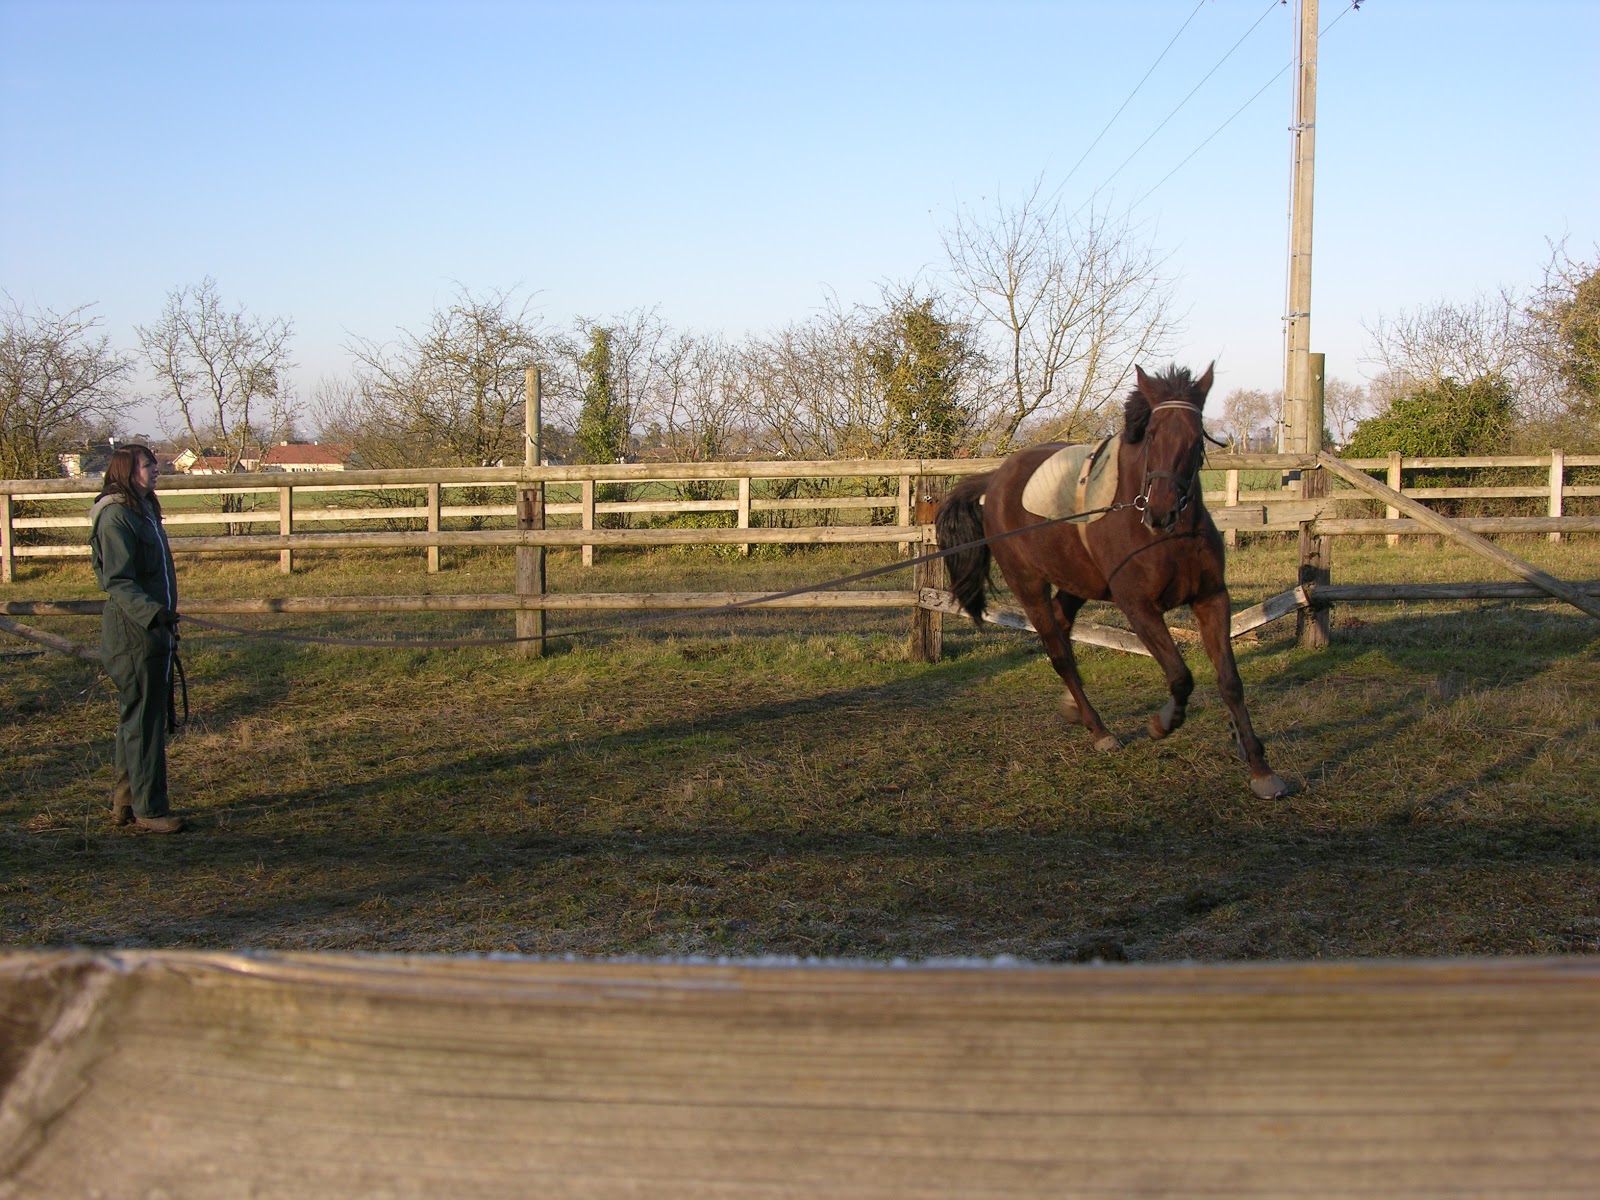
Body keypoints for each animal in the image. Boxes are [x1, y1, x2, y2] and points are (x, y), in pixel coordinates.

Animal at [935, 363, 1288, 800]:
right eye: (1151, 435)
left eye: (1195, 438)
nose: (1160, 513)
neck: (1169, 538)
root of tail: (996, 479)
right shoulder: (1138, 607)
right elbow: (1180, 676)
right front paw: (1162, 723)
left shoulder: (1211, 598)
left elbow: (1230, 682)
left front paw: (1260, 767)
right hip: (1029, 586)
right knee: (1059, 652)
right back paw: (1100, 730)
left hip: (1075, 582)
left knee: (1063, 627)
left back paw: (1076, 710)